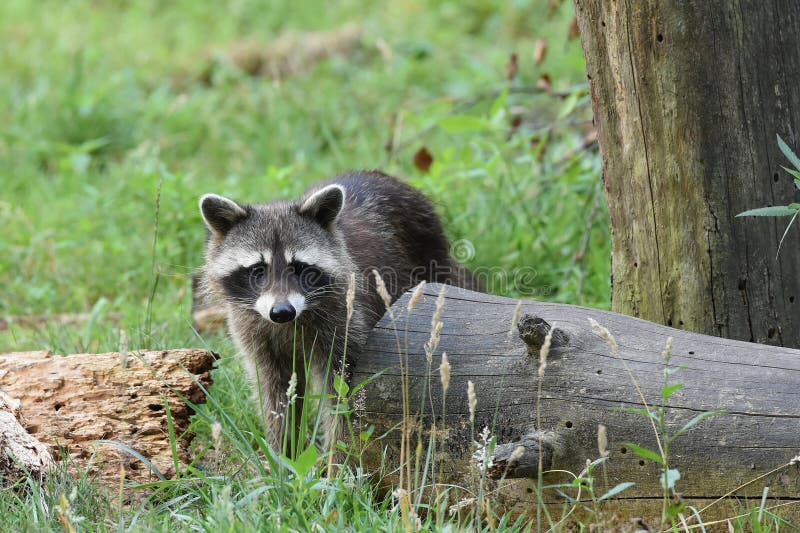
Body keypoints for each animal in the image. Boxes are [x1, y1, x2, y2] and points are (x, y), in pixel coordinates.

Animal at [198, 170, 478, 456]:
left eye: (299, 268)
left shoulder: (345, 321)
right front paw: (284, 454)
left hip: (431, 256)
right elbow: (275, 392)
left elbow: (343, 391)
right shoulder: (255, 332)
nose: (282, 312)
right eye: (258, 270)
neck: (292, 322)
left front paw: (339, 454)